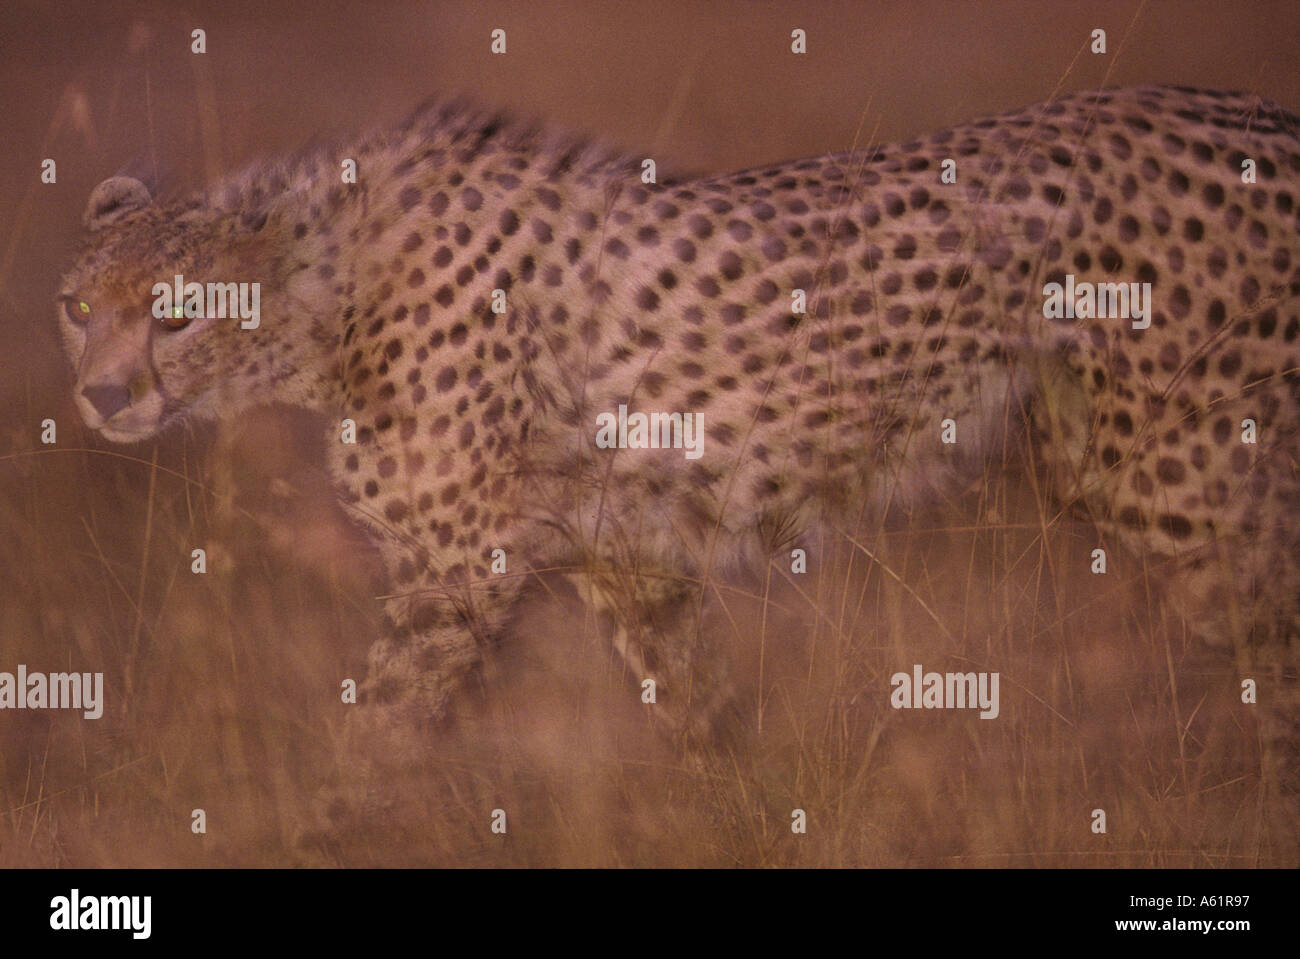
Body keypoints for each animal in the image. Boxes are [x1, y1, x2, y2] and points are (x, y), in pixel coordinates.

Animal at [55, 86, 1300, 814]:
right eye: (76, 305)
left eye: (177, 313)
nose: (103, 393)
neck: (325, 300)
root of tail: (1246, 107)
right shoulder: (630, 560)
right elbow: (706, 722)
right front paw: (745, 817)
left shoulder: (455, 572)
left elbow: (372, 742)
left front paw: (324, 828)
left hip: (1179, 471)